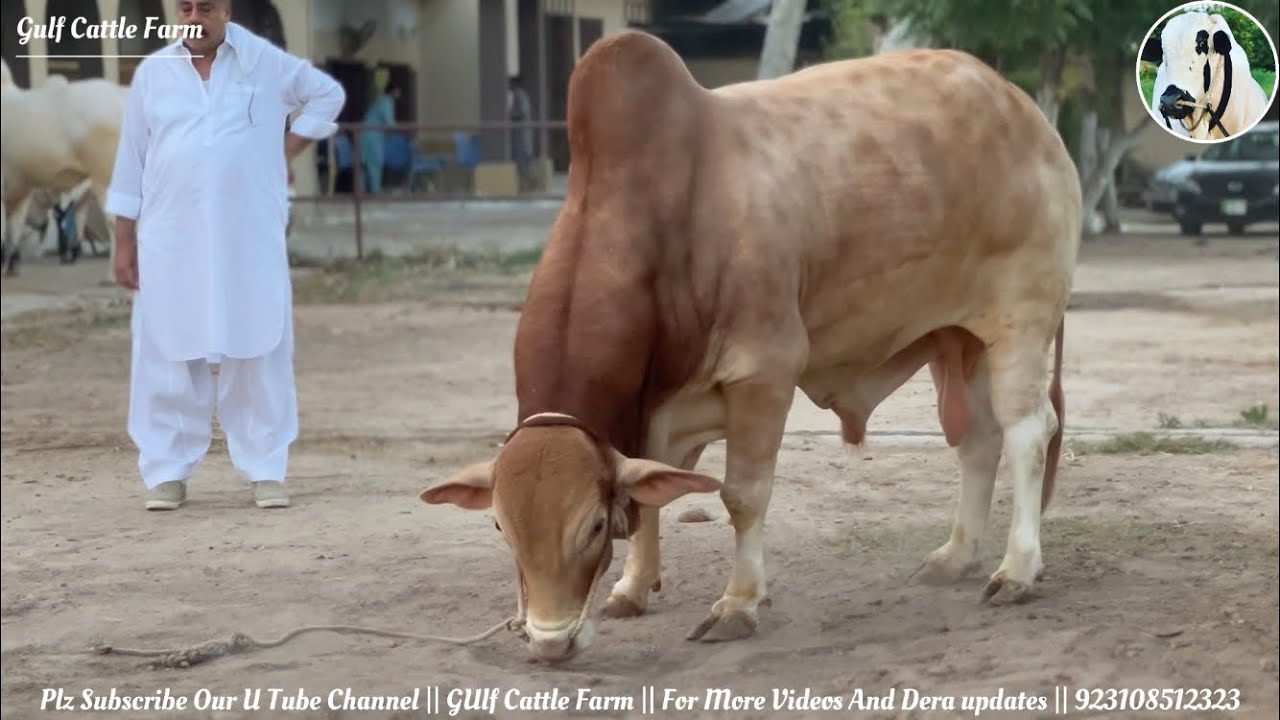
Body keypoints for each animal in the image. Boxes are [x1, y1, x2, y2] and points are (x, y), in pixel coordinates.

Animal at [419, 30, 1081, 663]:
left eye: (595, 525)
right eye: (501, 527)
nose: (550, 642)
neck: (666, 224)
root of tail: (1024, 110)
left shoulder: (764, 374)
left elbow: (741, 497)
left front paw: (737, 604)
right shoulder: (655, 407)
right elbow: (652, 497)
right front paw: (633, 588)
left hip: (1020, 322)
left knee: (1027, 433)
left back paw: (1017, 570)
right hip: (959, 339)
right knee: (978, 439)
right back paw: (955, 556)